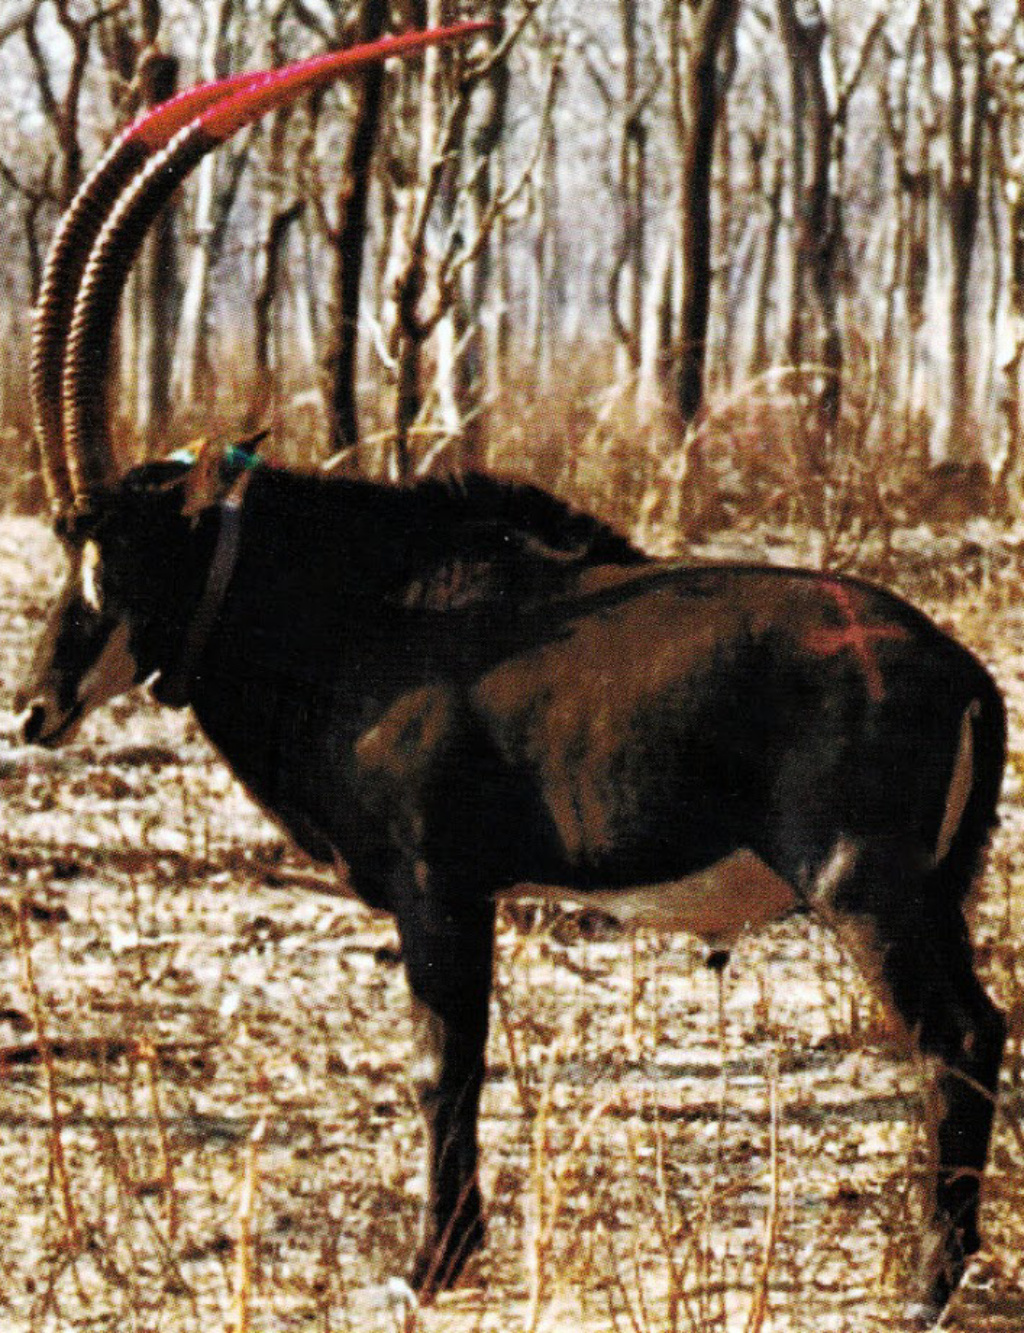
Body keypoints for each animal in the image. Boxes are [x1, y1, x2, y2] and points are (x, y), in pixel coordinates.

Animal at [14, 24, 1006, 1328]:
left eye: (117, 546)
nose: (34, 708)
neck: (357, 607)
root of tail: (963, 671)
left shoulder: (442, 888)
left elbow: (444, 1064)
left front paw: (432, 1260)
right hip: (934, 894)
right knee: (985, 1033)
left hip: (870, 897)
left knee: (951, 1046)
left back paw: (923, 1287)